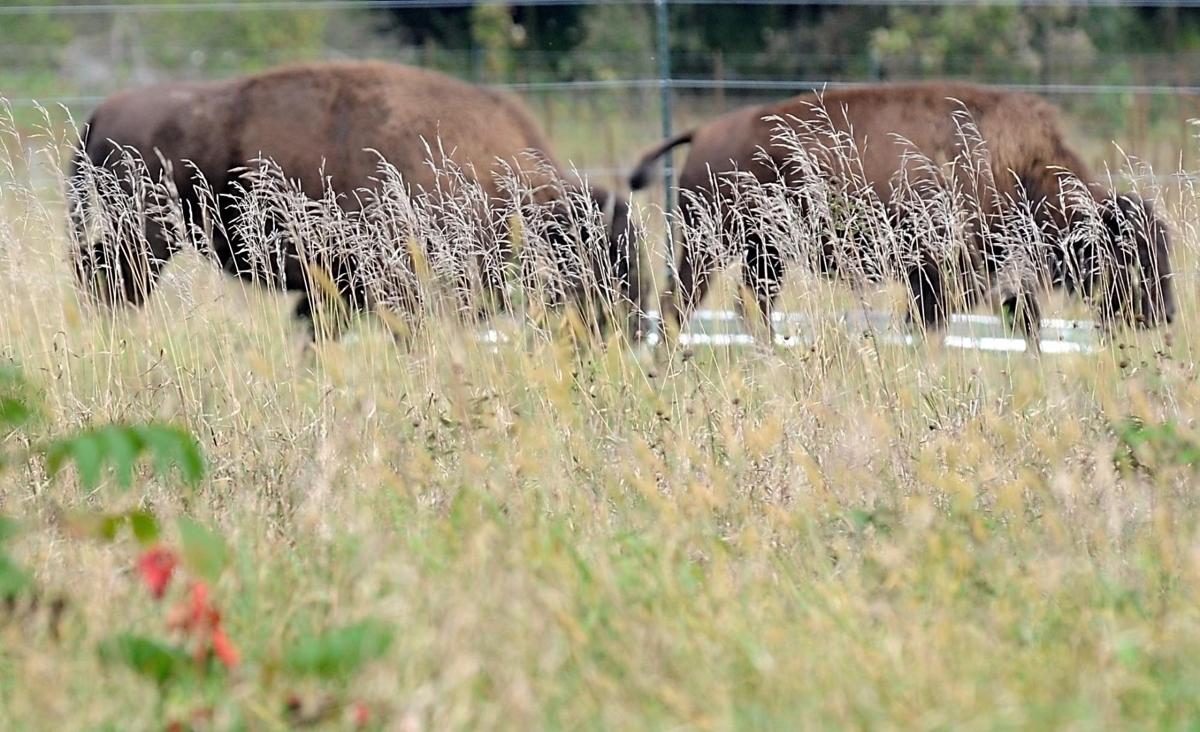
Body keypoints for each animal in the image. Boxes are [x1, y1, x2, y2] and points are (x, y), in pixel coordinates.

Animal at [67, 60, 642, 339]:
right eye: (602, 254)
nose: (632, 325)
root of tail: (101, 112)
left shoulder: (334, 292)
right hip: (146, 238)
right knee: (109, 283)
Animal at [630, 82, 1175, 347]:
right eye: (1131, 252)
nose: (1163, 314)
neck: (1021, 167)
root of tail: (704, 132)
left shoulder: (999, 281)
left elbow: (1026, 325)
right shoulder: (937, 276)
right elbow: (929, 323)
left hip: (764, 256)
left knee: (749, 309)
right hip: (706, 247)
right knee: (680, 305)